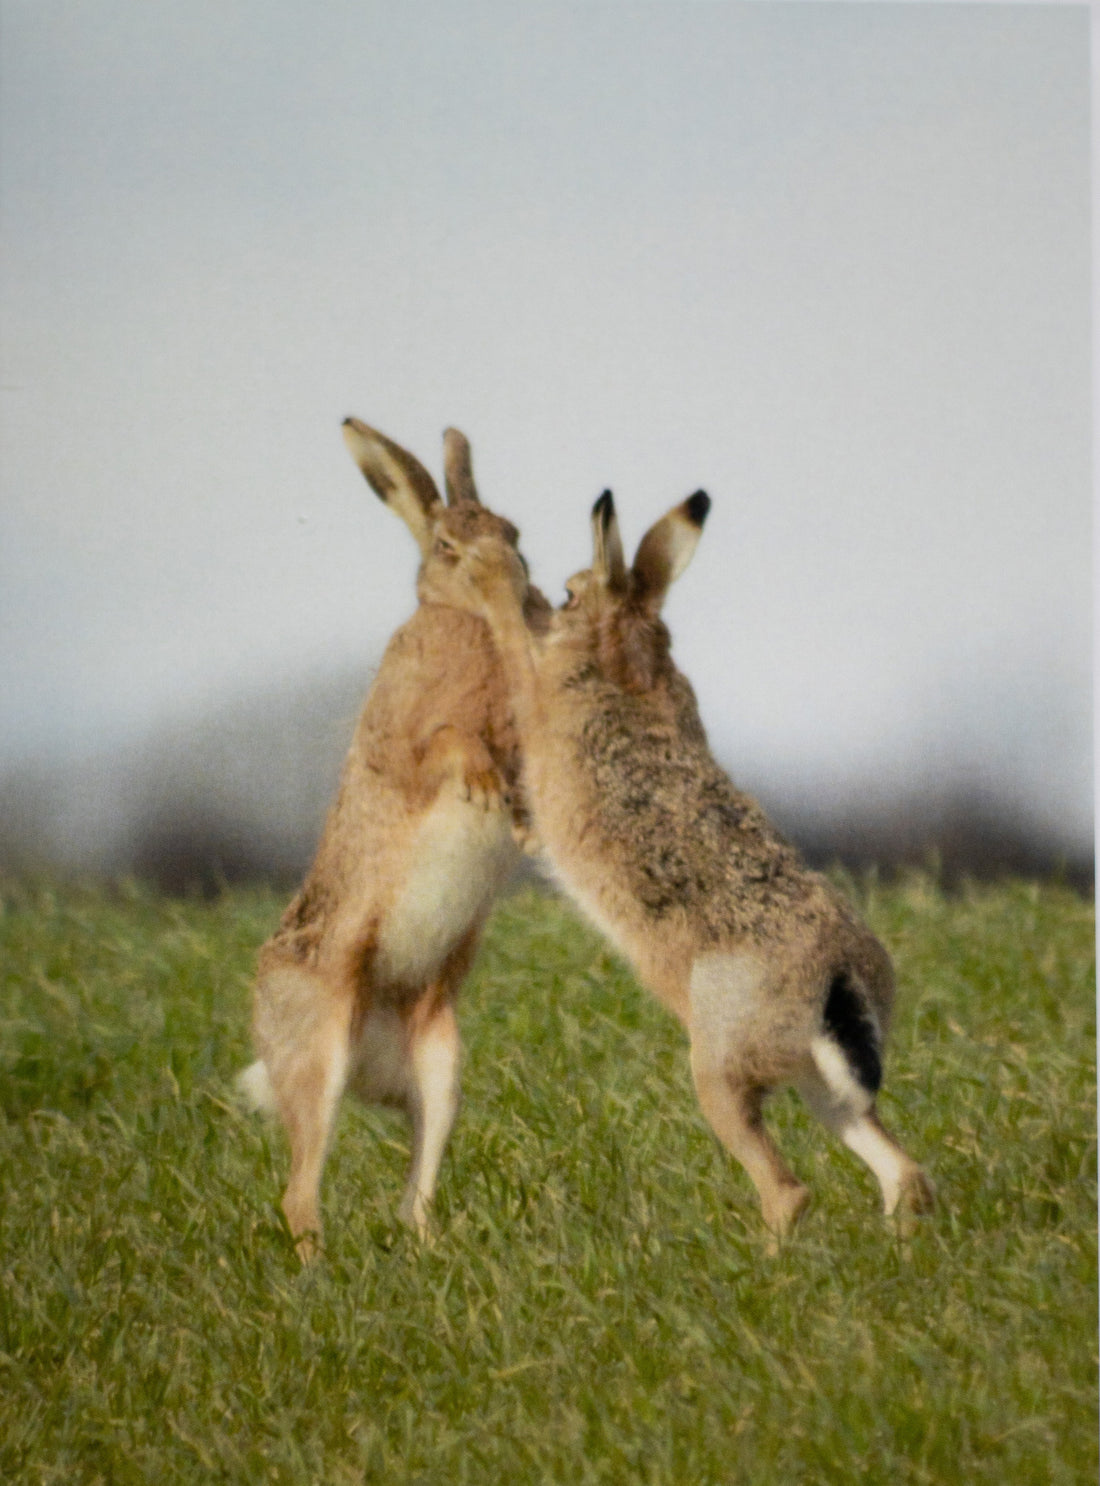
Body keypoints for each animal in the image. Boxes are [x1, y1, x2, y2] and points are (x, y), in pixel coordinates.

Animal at [239, 418, 549, 1259]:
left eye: (516, 533)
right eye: (445, 544)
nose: (513, 580)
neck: (466, 617)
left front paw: (521, 822)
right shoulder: (410, 735)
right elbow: (446, 744)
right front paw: (481, 789)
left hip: (441, 1062)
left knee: (414, 1184)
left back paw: (427, 1250)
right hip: (321, 1047)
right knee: (297, 1194)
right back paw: (318, 1270)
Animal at [439, 487, 934, 1241]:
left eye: (571, 592)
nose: (551, 602)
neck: (627, 662)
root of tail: (838, 974)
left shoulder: (538, 697)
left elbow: (510, 643)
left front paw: (487, 570)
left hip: (719, 1065)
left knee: (787, 1187)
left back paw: (771, 1256)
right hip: (822, 1083)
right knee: (900, 1167)